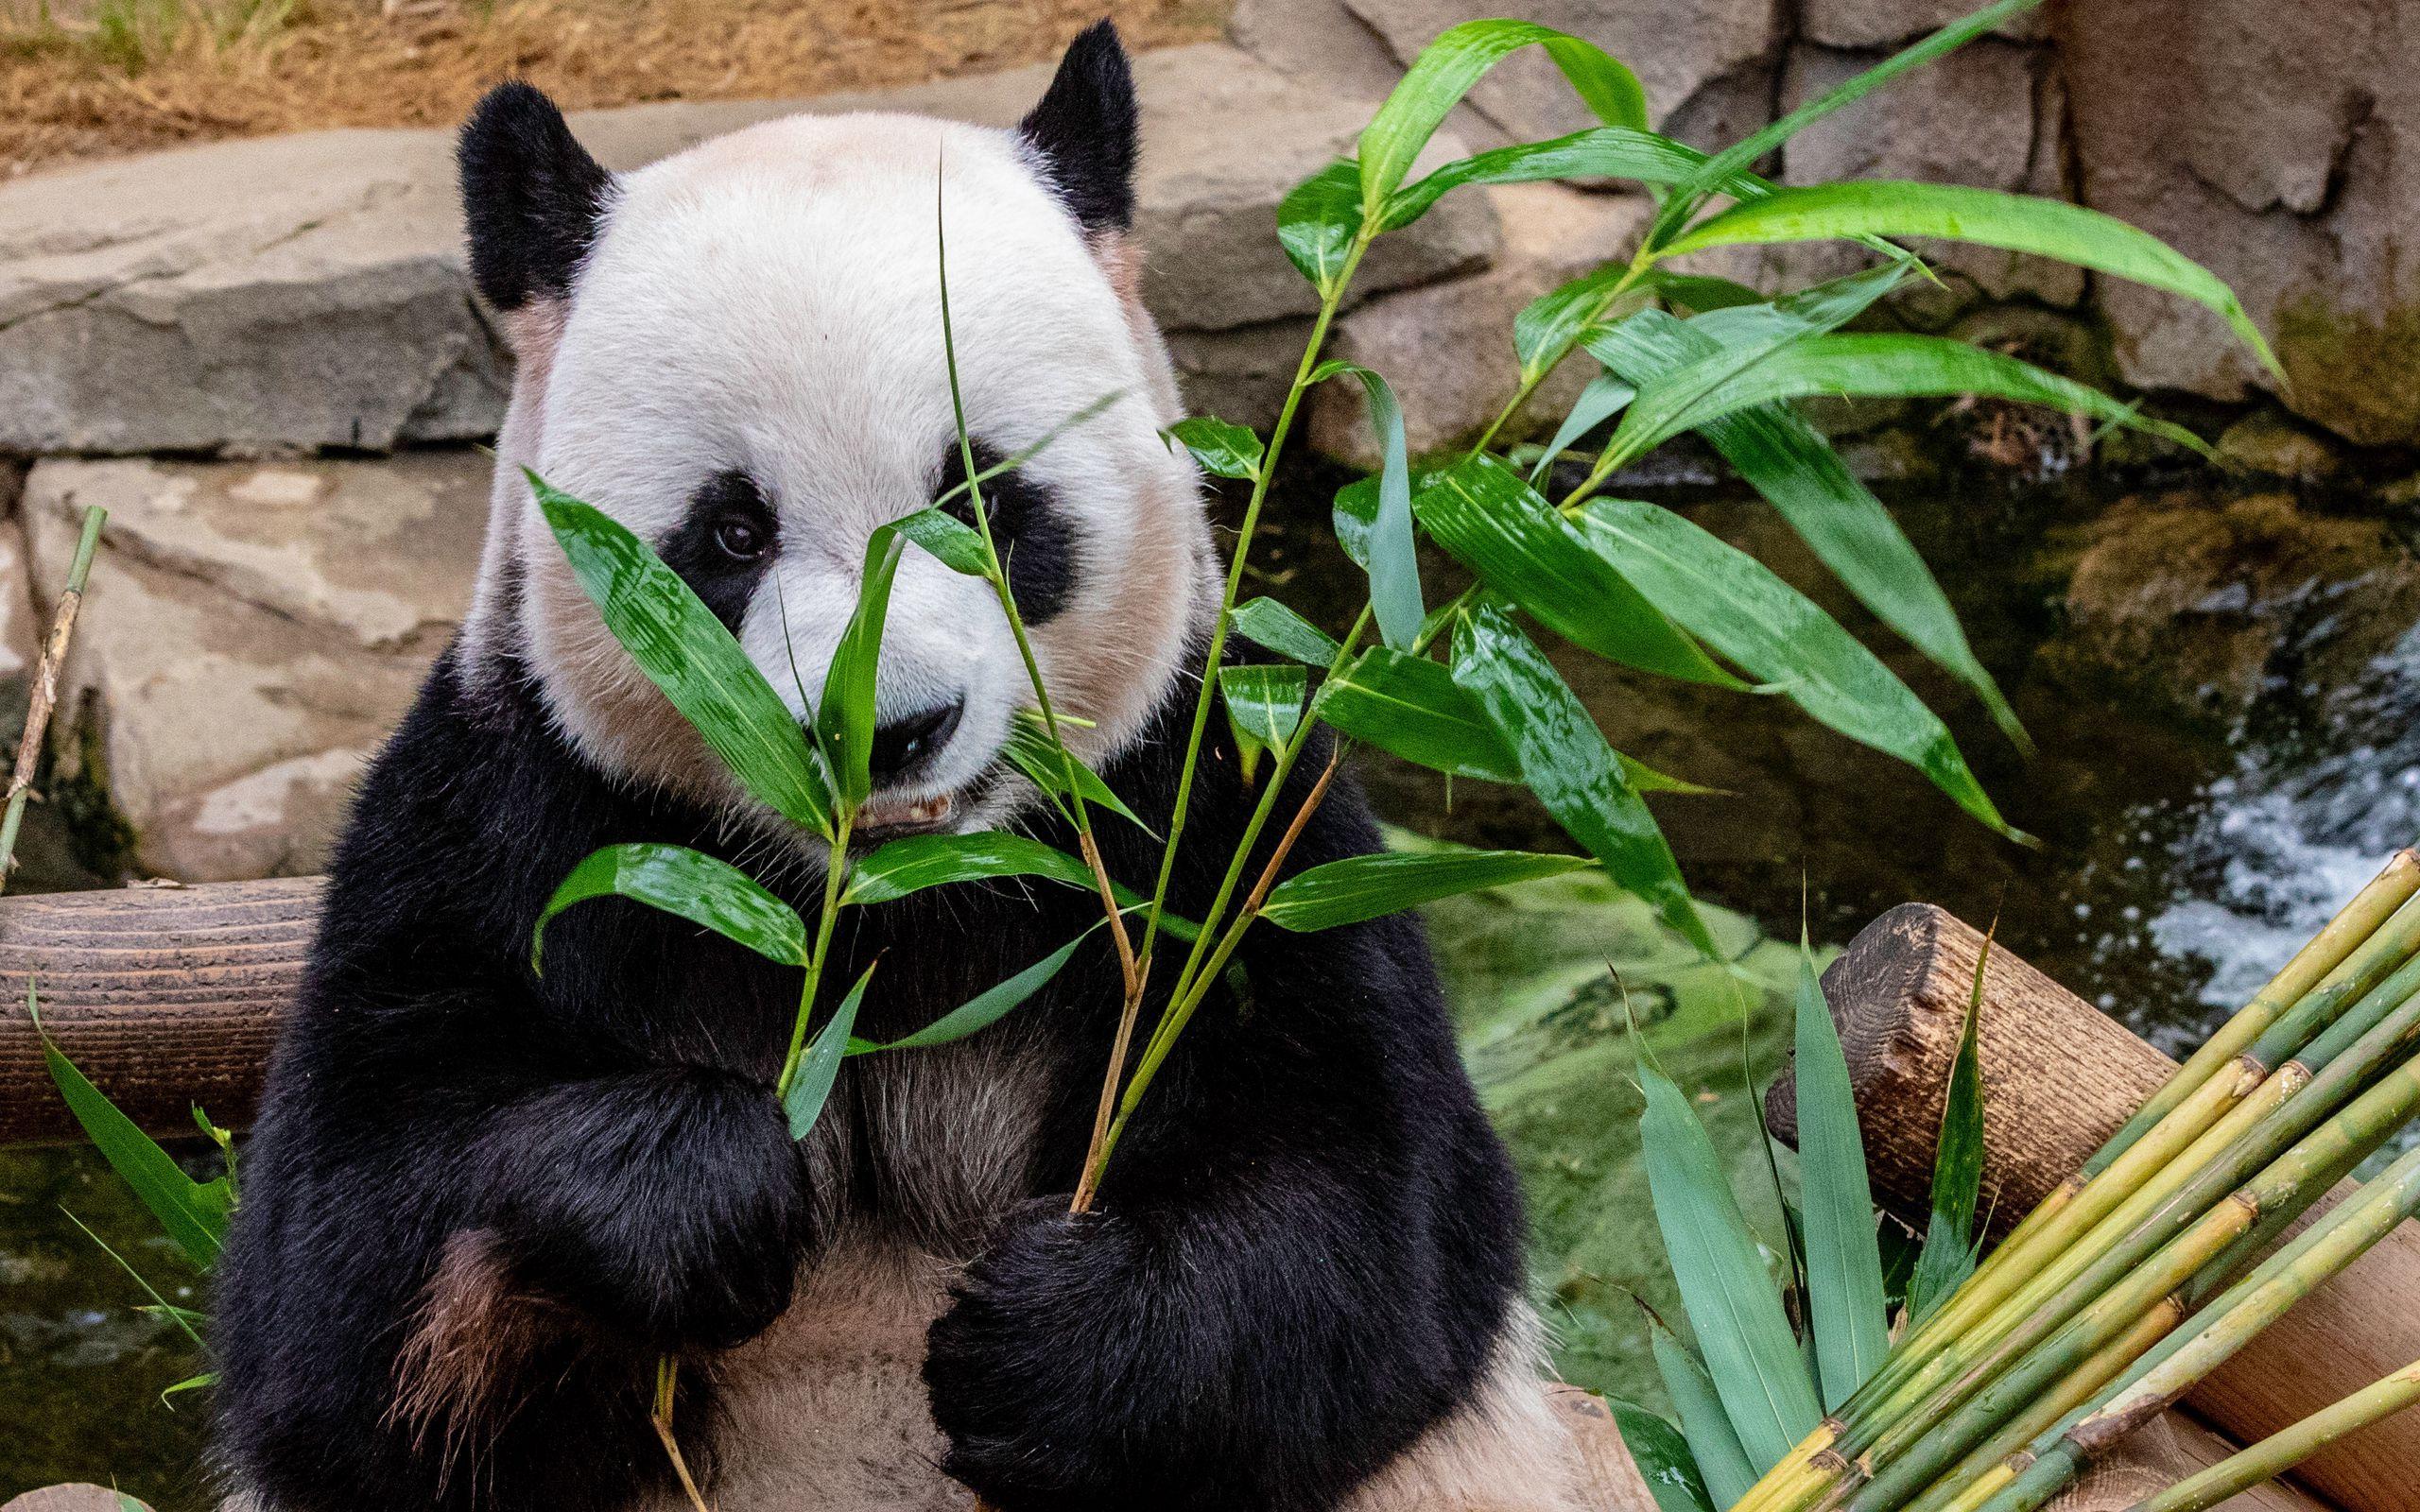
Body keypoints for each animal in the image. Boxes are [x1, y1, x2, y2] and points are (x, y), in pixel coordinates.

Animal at [211, 22, 1587, 1512]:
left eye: (979, 496)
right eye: (731, 531)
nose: (888, 729)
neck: (893, 903)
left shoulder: (1214, 814)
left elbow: (1375, 1221)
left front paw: (1053, 1341)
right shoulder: (517, 813)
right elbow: (343, 1284)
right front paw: (694, 1190)